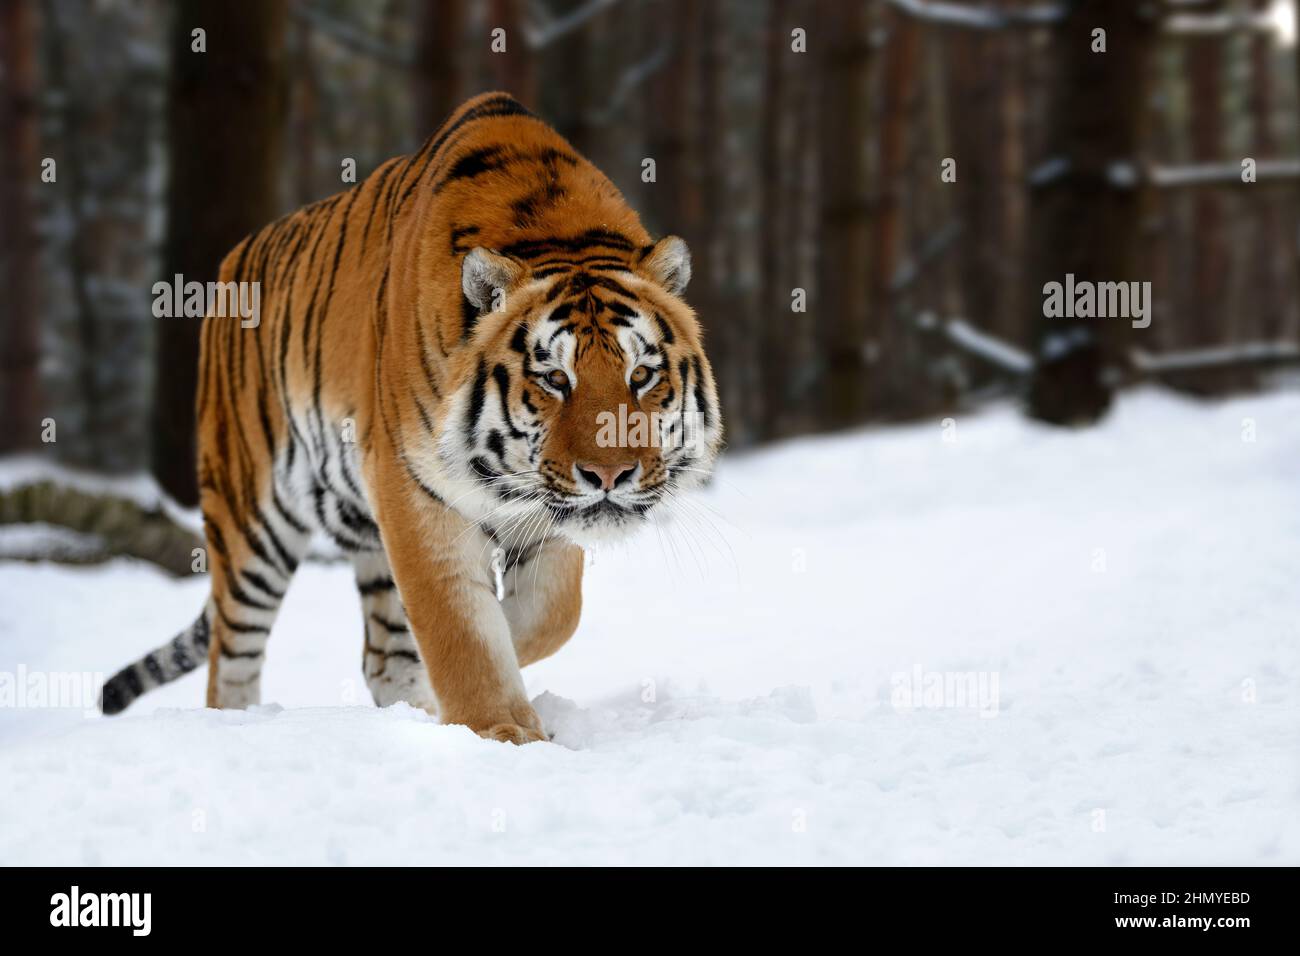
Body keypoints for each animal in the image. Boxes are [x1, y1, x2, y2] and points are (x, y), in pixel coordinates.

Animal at [98, 92, 723, 743]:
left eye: (641, 375)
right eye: (555, 379)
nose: (610, 476)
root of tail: (228, 266)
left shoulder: (541, 514)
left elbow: (550, 611)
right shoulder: (414, 491)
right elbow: (460, 628)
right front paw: (503, 731)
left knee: (382, 658)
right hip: (250, 519)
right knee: (232, 658)